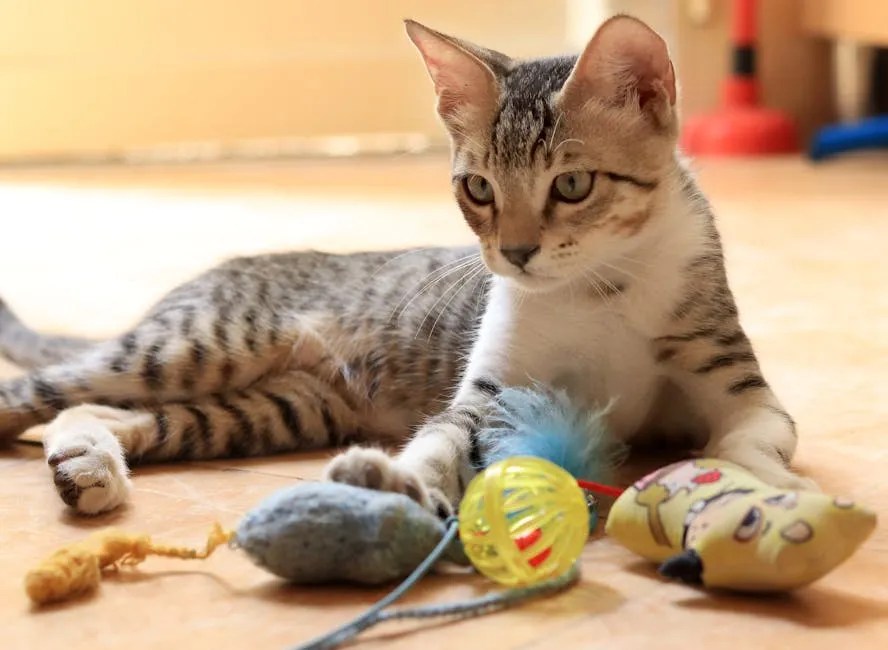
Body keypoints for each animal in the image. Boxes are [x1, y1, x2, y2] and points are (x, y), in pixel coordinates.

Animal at [0, 13, 812, 516]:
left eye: (574, 184)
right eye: (478, 188)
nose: (515, 252)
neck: (598, 287)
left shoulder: (736, 380)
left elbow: (757, 434)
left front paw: (762, 487)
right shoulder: (495, 386)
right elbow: (447, 436)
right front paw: (400, 479)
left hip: (282, 407)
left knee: (105, 410)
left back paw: (87, 461)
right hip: (198, 345)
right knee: (45, 391)